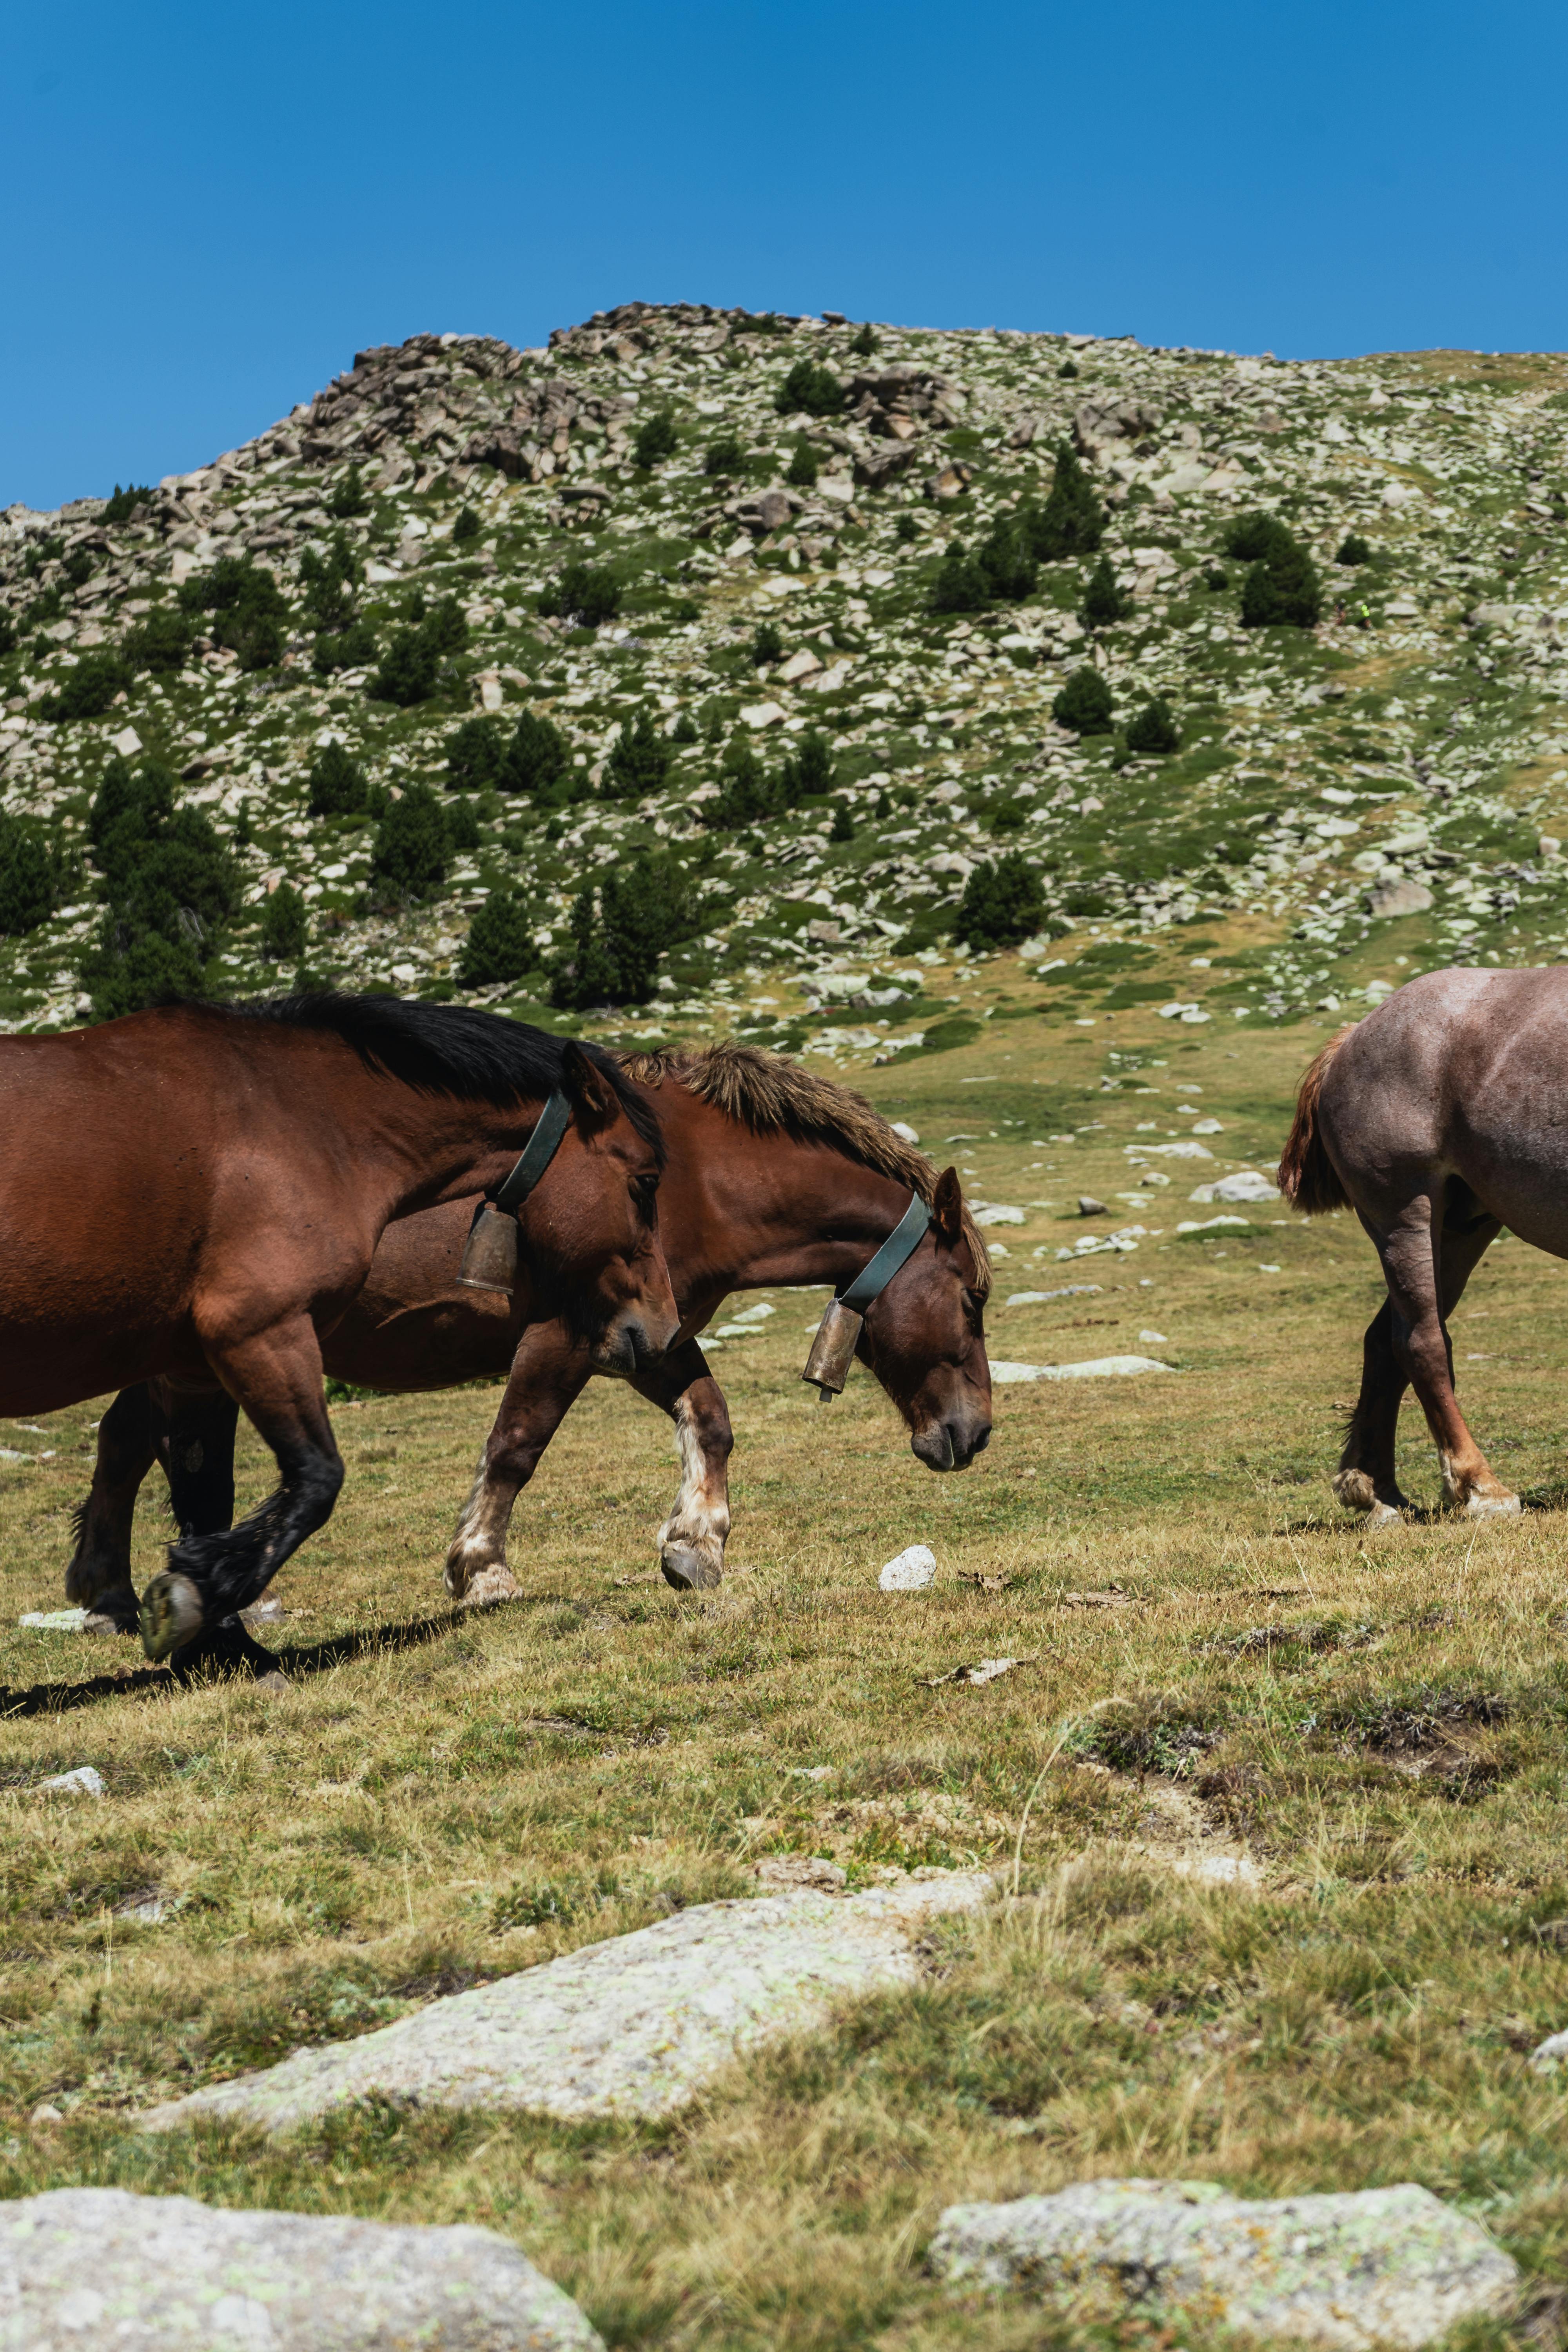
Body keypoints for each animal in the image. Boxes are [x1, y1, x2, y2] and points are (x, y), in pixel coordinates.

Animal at [2, 993, 676, 1663]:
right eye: (645, 1182)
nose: (662, 1330)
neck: (302, 1124)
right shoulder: (263, 1333)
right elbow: (316, 1481)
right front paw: (197, 1596)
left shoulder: (196, 1369)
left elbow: (207, 1493)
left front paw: (221, 1638)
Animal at [67, 1043, 993, 1624]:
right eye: (973, 1299)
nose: (975, 1433)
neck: (700, 1182)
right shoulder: (570, 1332)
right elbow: (516, 1446)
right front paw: (481, 1569)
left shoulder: (645, 1337)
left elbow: (710, 1420)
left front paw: (695, 1545)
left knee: (124, 1438)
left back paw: (114, 1589)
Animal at [1279, 965, 1568, 1524]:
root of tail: (1356, 1035)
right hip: (1404, 1213)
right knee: (1421, 1340)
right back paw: (1479, 1485)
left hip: (1462, 1228)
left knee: (1383, 1340)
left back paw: (1375, 1489)